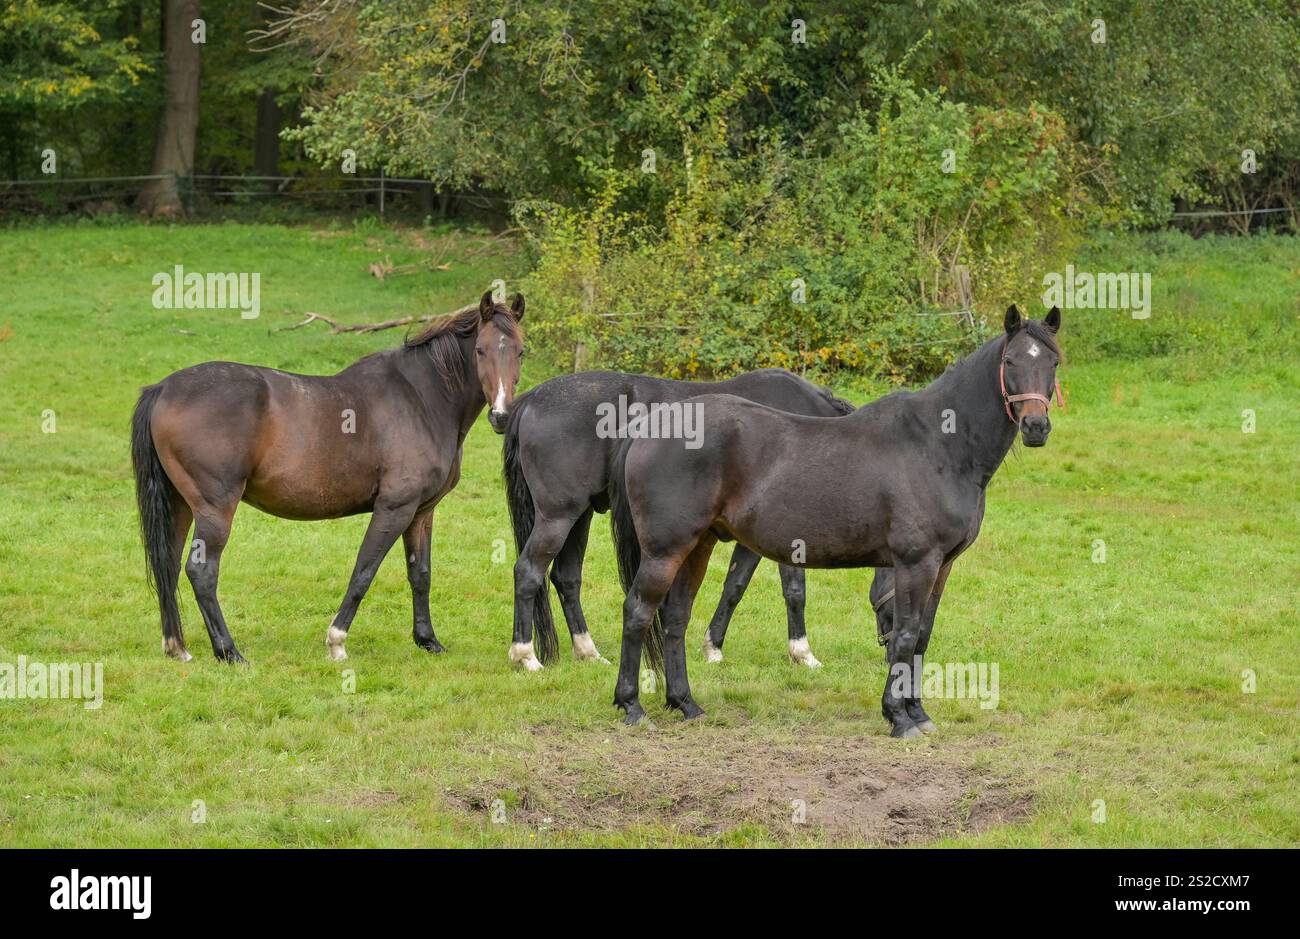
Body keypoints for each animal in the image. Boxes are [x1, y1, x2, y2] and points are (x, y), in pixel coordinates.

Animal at [131, 291, 526, 663]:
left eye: (521, 352)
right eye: (480, 350)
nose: (502, 416)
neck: (421, 398)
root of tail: (162, 389)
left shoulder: (421, 512)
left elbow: (421, 574)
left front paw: (428, 640)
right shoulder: (394, 508)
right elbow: (364, 571)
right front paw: (337, 641)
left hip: (180, 505)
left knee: (168, 564)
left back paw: (177, 647)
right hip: (215, 509)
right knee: (201, 572)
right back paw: (228, 651)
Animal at [503, 368, 896, 670]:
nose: (893, 653)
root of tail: (531, 400)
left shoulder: (752, 538)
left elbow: (735, 586)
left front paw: (713, 647)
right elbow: (795, 591)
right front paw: (803, 653)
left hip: (579, 514)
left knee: (566, 578)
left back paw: (588, 652)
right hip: (558, 516)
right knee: (528, 572)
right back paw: (526, 656)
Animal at [608, 305, 1063, 737]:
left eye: (1053, 362)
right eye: (1010, 361)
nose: (1035, 426)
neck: (939, 444)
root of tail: (650, 425)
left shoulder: (943, 565)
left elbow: (922, 636)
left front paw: (919, 712)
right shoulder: (916, 562)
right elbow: (906, 634)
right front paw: (899, 717)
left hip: (697, 546)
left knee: (675, 617)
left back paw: (686, 704)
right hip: (665, 551)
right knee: (637, 611)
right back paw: (632, 706)